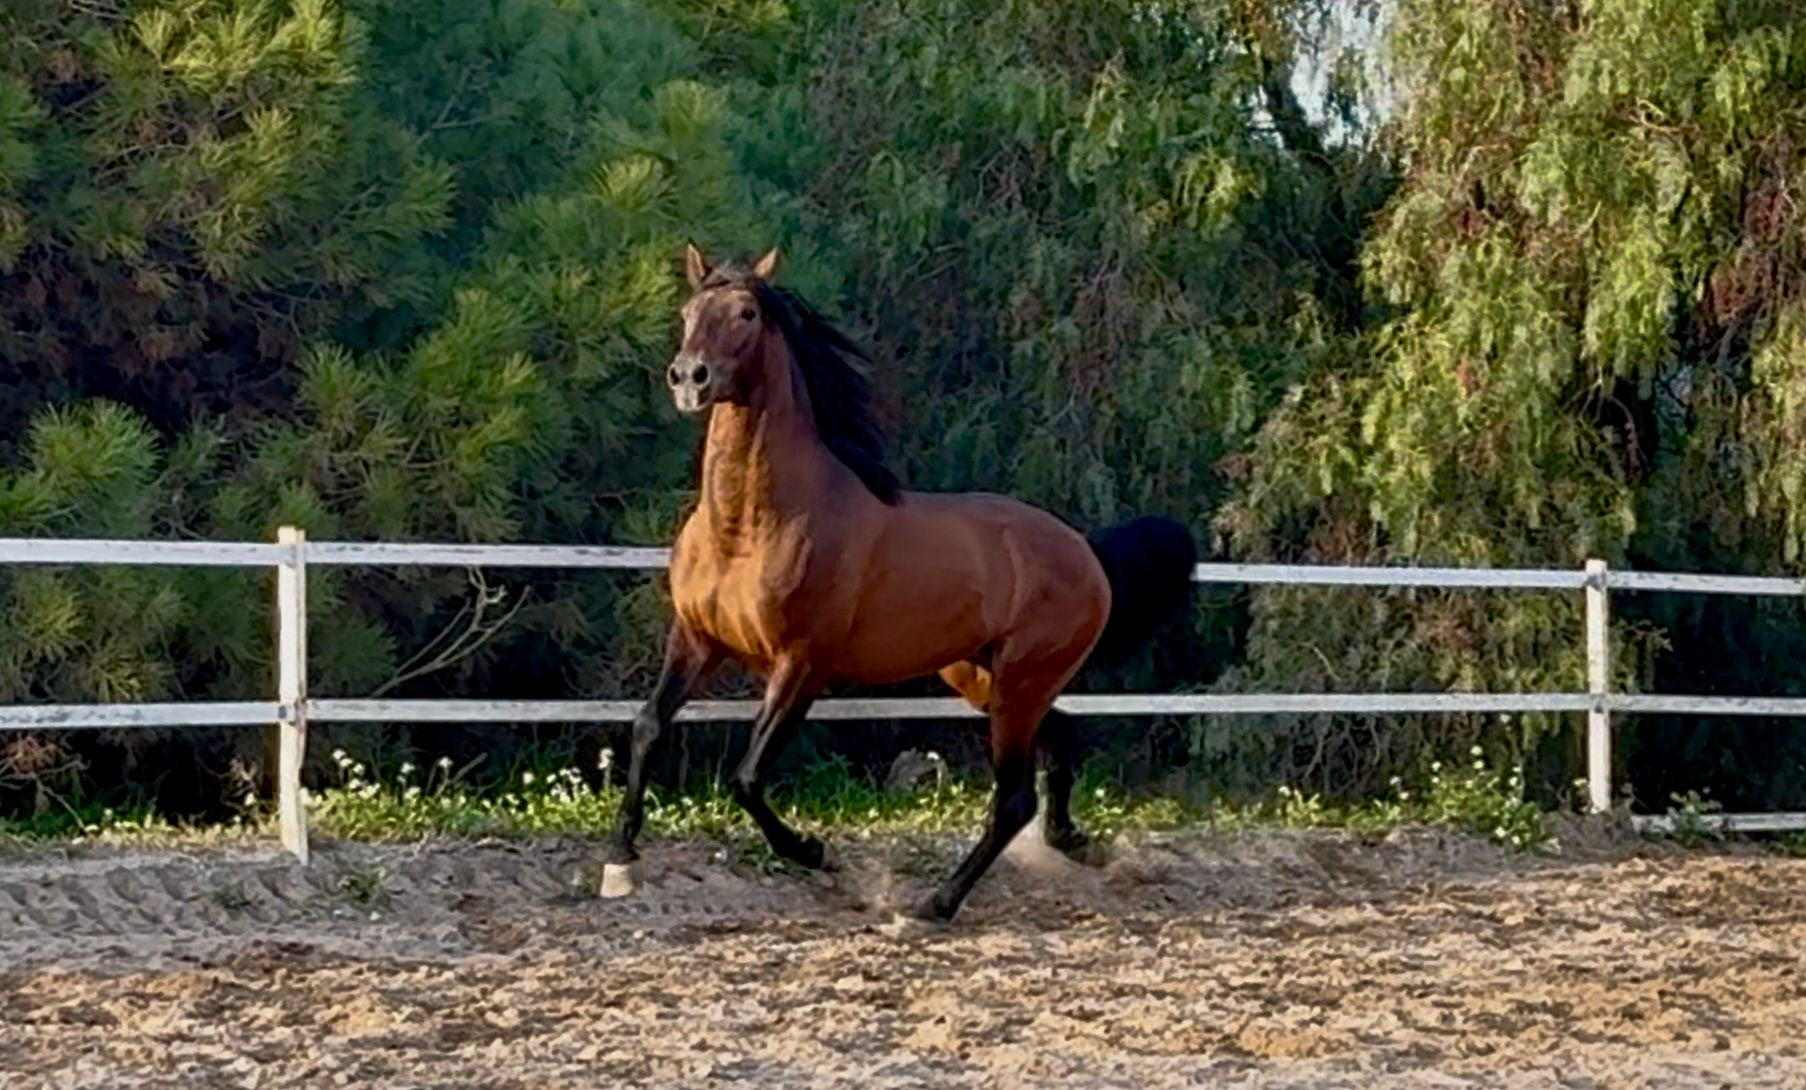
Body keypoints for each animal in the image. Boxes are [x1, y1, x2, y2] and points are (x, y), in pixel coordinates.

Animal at [601, 244, 1197, 923]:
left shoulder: (802, 664)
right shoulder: (697, 640)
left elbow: (747, 778)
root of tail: (1086, 552)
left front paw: (815, 852)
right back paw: (1071, 842)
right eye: (687, 312)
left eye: (747, 313)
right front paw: (620, 860)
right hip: (986, 677)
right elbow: (648, 726)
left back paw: (937, 902)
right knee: (1060, 739)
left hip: (1020, 684)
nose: (689, 379)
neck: (749, 526)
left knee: (1013, 799)